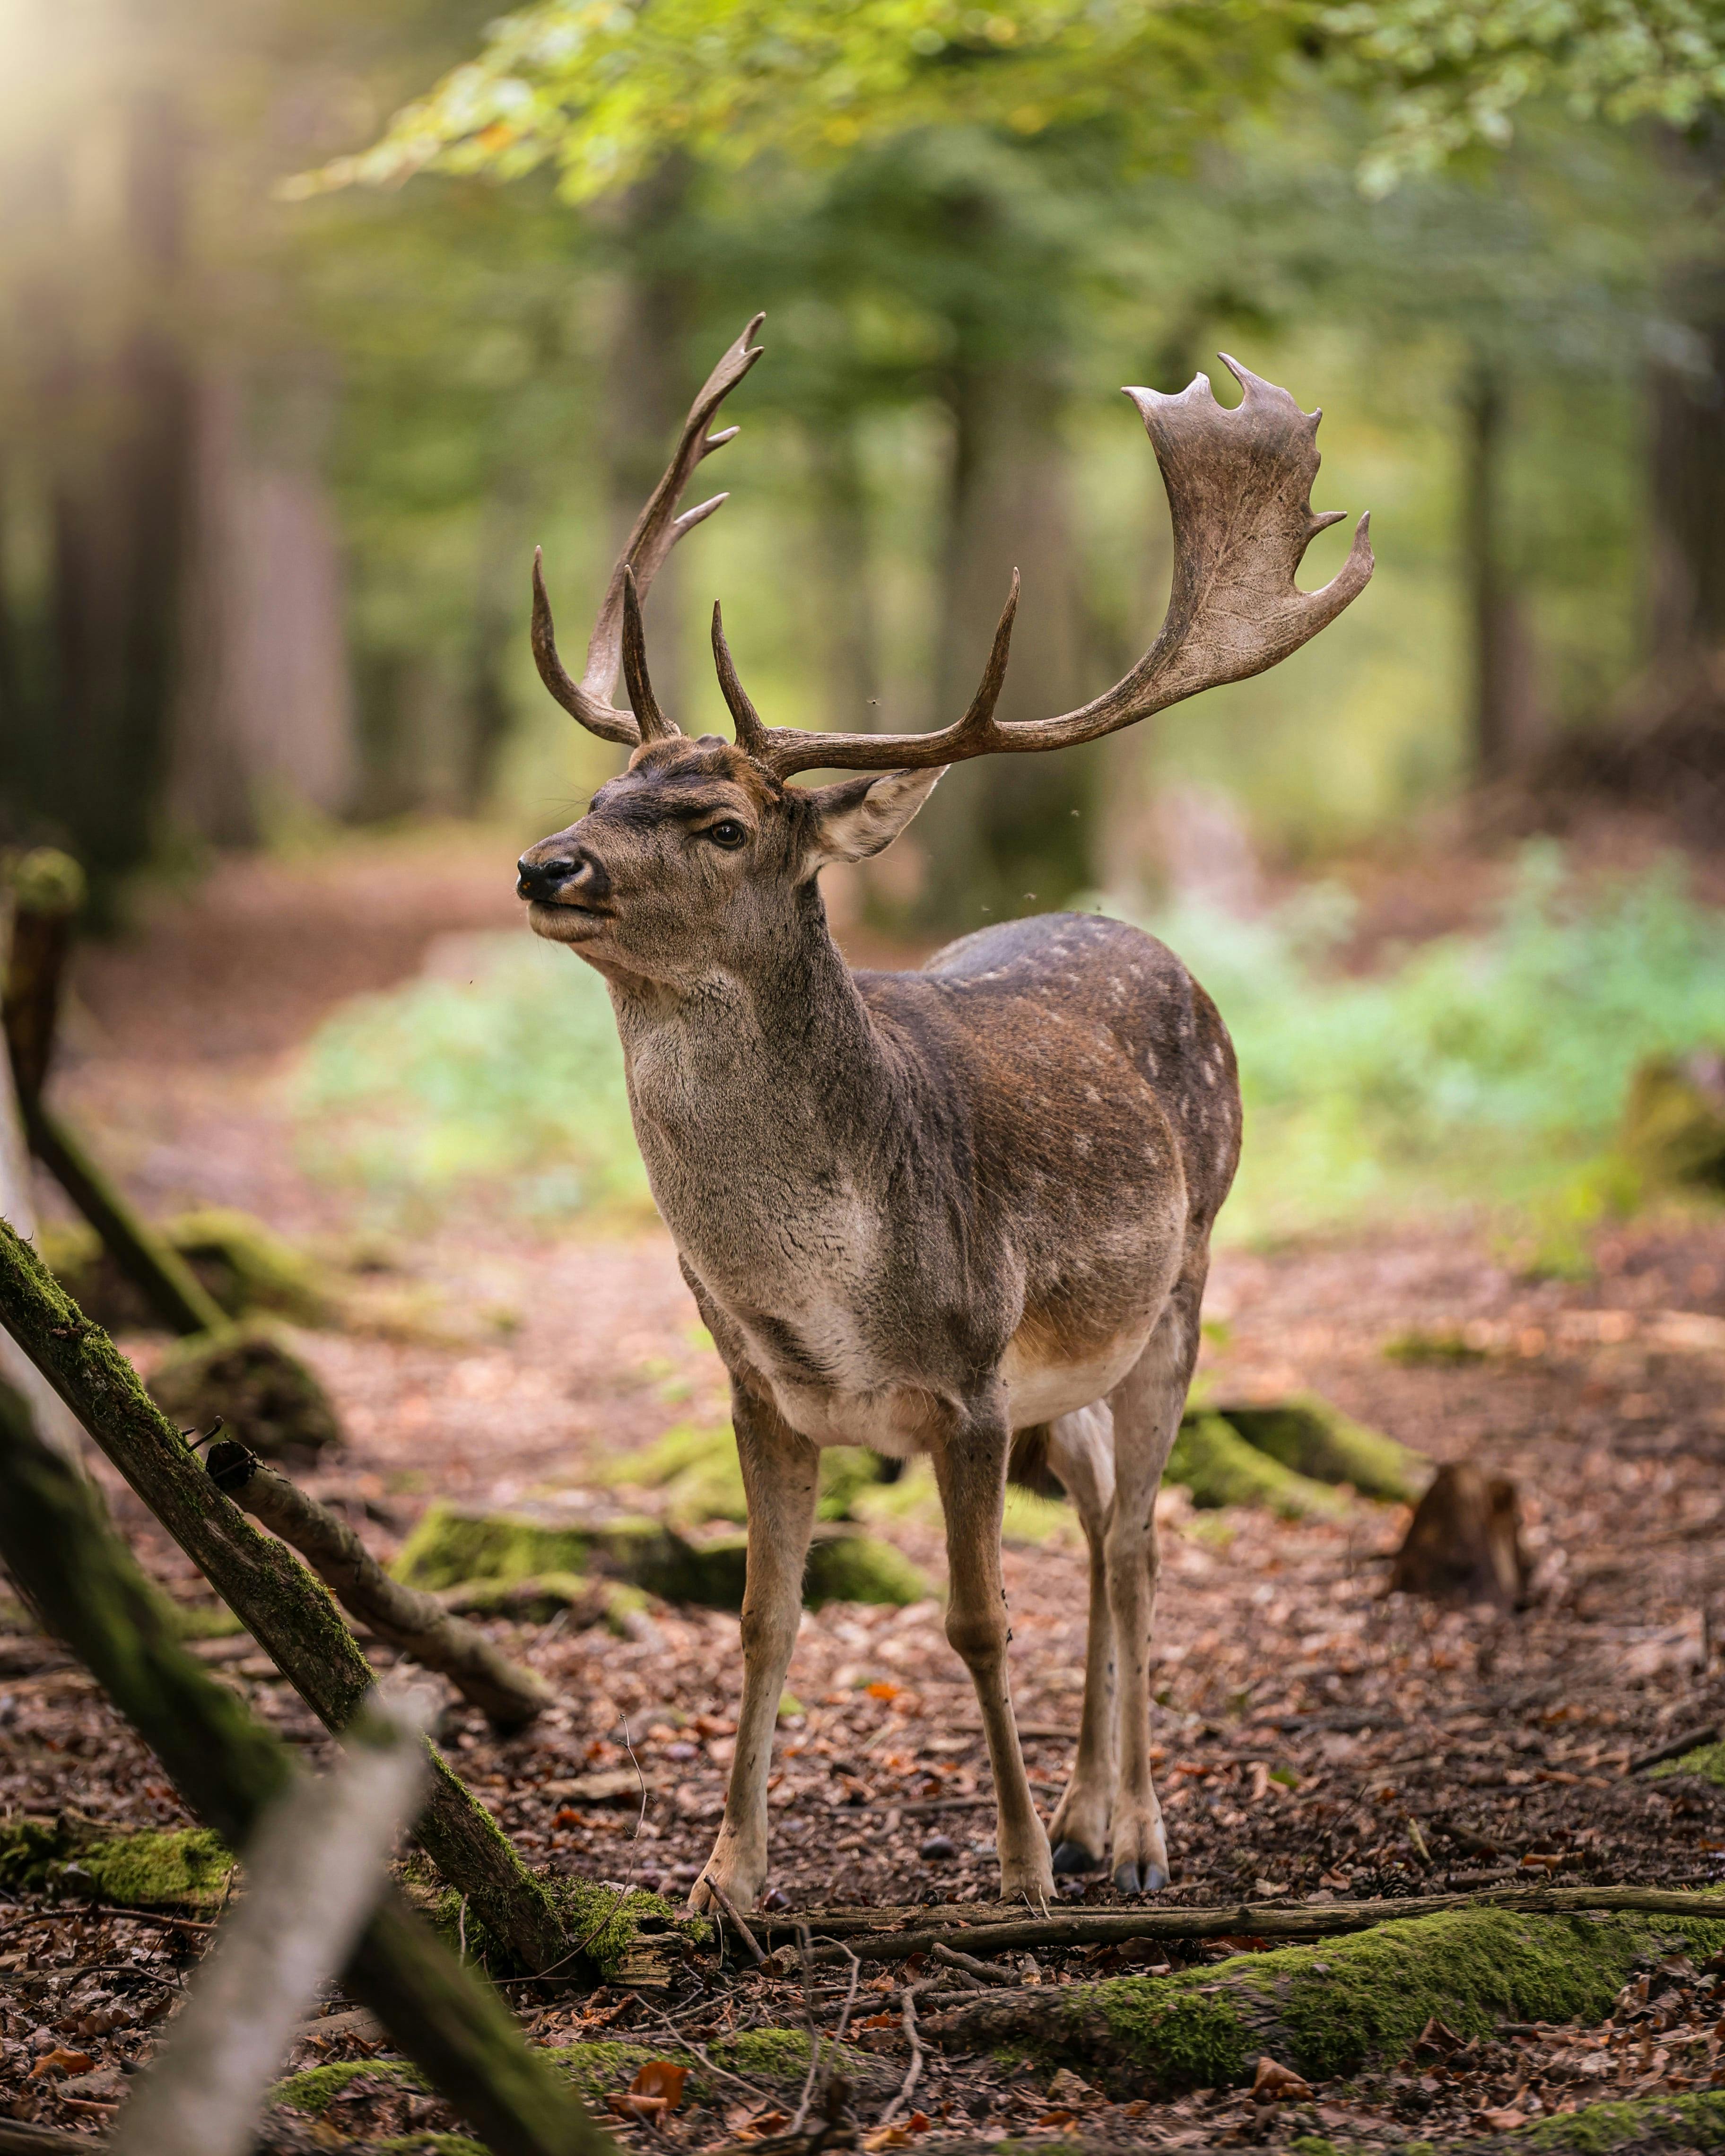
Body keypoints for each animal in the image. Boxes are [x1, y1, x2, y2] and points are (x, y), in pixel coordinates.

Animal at [516, 316, 1371, 1910]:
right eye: (604, 788)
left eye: (722, 824)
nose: (549, 866)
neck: (821, 1288)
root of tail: (1155, 940)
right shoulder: (757, 1388)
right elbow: (764, 1617)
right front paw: (725, 1882)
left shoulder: (970, 1376)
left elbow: (975, 1620)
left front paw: (1022, 1867)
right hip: (1078, 1364)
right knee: (1099, 1518)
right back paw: (1100, 1815)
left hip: (1185, 1277)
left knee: (1138, 1536)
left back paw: (1130, 1835)